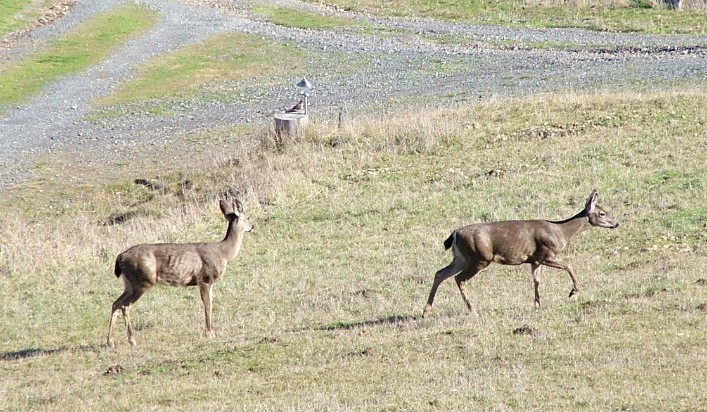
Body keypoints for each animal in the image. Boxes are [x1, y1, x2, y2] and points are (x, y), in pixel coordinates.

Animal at [107, 198, 253, 348]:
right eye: (248, 217)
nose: (252, 226)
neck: (224, 253)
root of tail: (120, 257)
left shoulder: (209, 282)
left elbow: (211, 304)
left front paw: (211, 331)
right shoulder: (205, 279)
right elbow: (207, 305)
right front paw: (210, 333)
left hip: (130, 283)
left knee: (115, 303)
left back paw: (110, 341)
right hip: (142, 280)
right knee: (125, 305)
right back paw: (132, 340)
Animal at [422, 190, 618, 317]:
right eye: (602, 213)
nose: (615, 223)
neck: (561, 232)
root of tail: (455, 234)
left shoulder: (535, 260)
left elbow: (537, 281)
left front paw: (538, 305)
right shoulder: (547, 254)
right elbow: (569, 265)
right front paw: (573, 292)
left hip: (461, 258)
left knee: (440, 273)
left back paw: (427, 310)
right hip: (479, 257)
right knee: (459, 278)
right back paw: (473, 311)